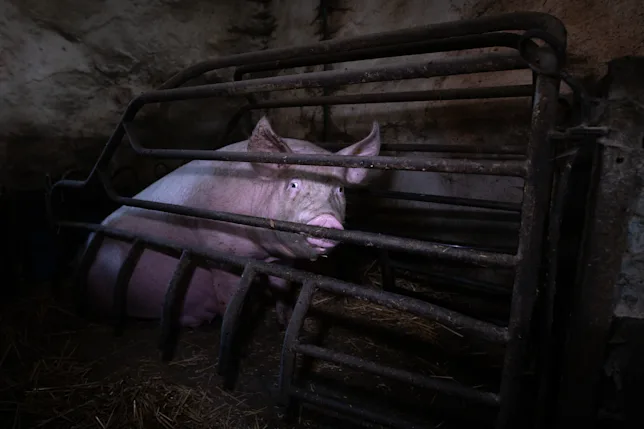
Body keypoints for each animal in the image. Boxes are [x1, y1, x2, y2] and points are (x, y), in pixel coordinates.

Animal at [84, 116, 381, 328]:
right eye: (293, 184)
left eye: (339, 189)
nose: (326, 220)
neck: (261, 252)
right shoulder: (219, 253)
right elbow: (230, 299)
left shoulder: (283, 260)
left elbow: (282, 288)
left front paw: (284, 323)